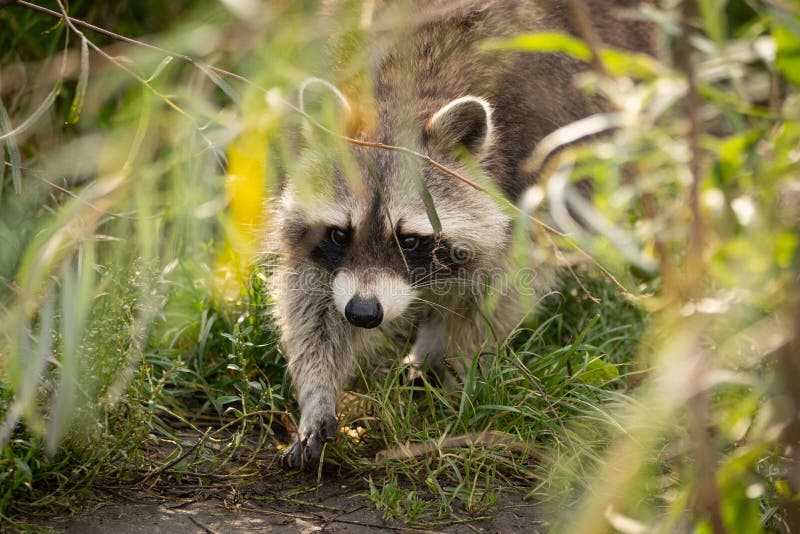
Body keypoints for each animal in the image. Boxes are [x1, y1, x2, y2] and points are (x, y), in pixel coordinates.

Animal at [271, 0, 653, 468]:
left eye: (410, 240)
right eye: (341, 234)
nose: (363, 313)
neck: (400, 99)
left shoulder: (531, 171)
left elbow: (498, 293)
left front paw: (462, 372)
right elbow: (313, 302)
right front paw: (317, 392)